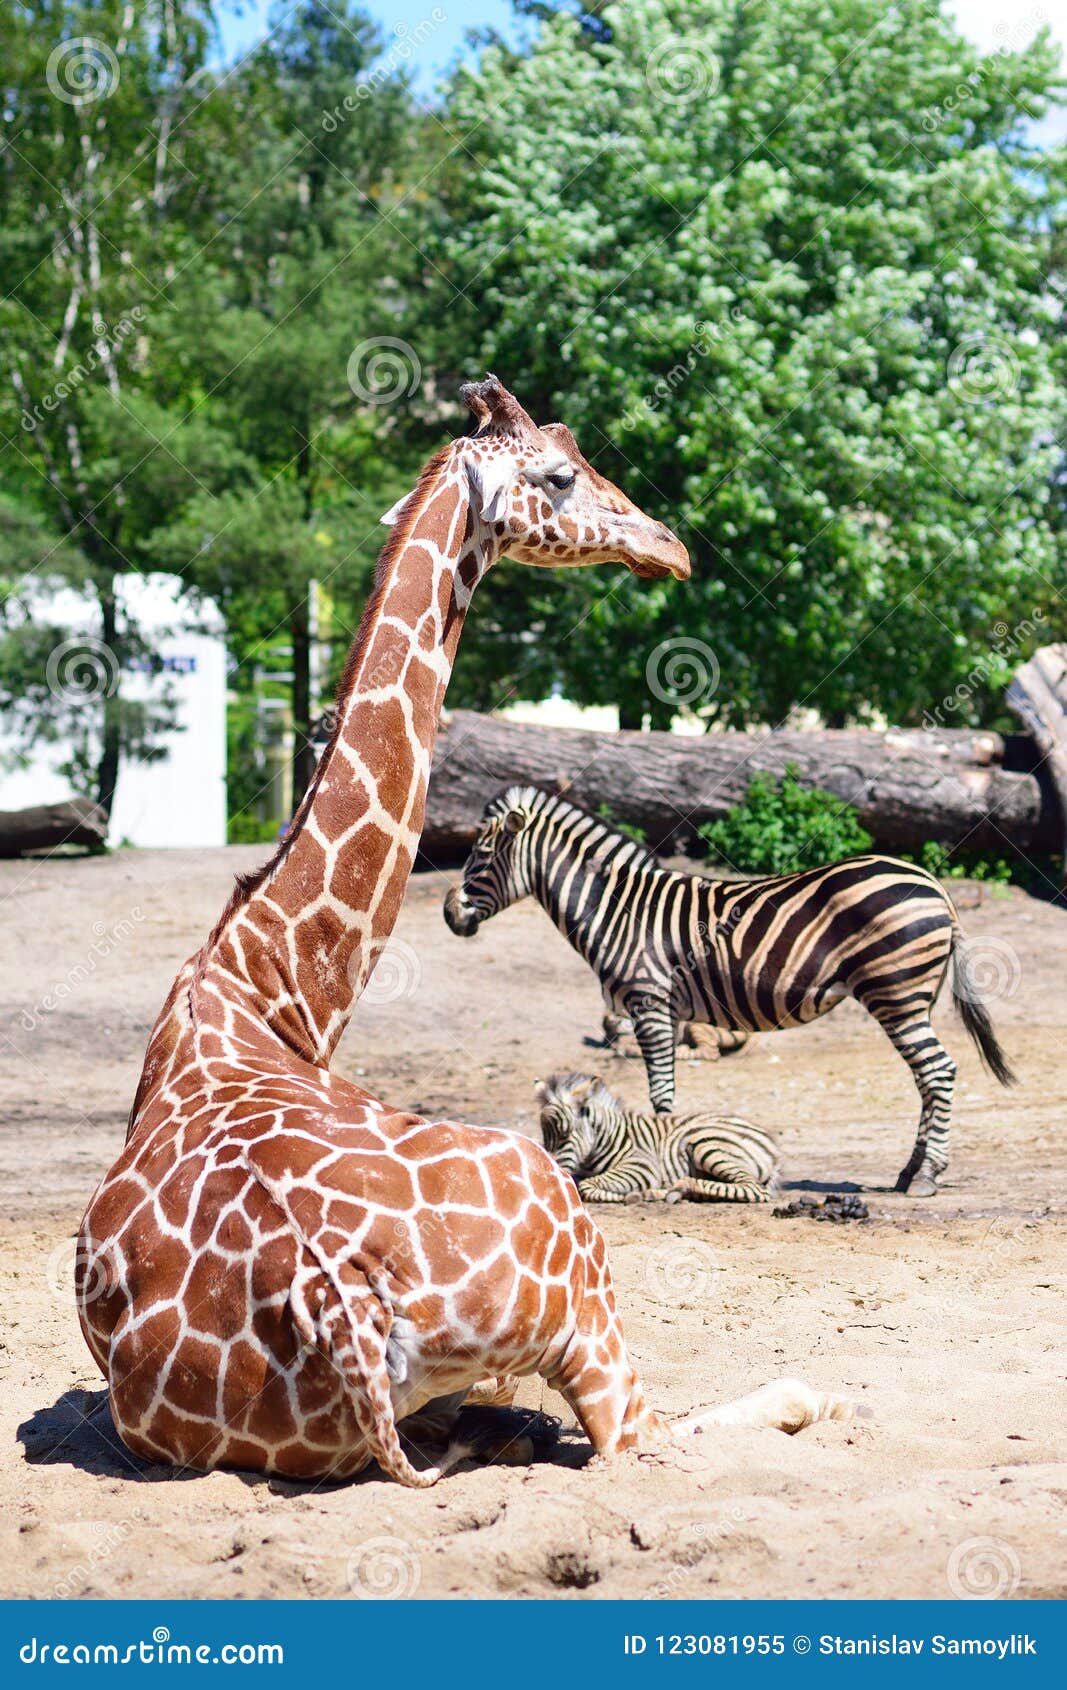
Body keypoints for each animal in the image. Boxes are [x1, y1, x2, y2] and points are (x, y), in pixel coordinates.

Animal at [536, 1072, 780, 1204]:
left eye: (565, 1134)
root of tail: (772, 1146)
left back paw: (679, 1187)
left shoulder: (642, 1165)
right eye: (544, 1137)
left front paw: (627, 1196)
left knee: (754, 1188)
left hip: (706, 1143)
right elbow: (579, 1181)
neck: (607, 1137)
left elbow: (586, 1186)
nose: (548, 1175)